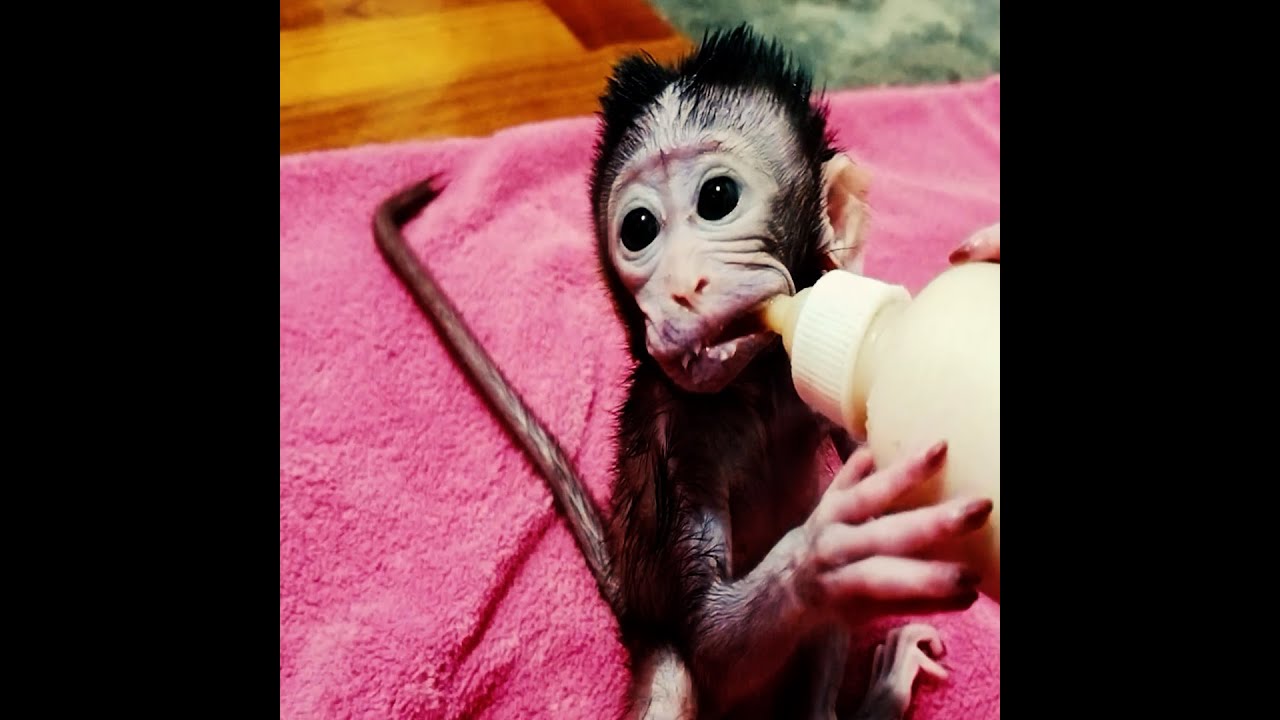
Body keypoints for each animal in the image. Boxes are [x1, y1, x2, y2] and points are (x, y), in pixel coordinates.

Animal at [373, 25, 994, 720]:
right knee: (679, 675)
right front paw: (821, 556)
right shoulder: (675, 442)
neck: (757, 388)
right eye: (638, 227)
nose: (680, 287)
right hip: (659, 636)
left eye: (717, 198)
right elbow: (714, 651)